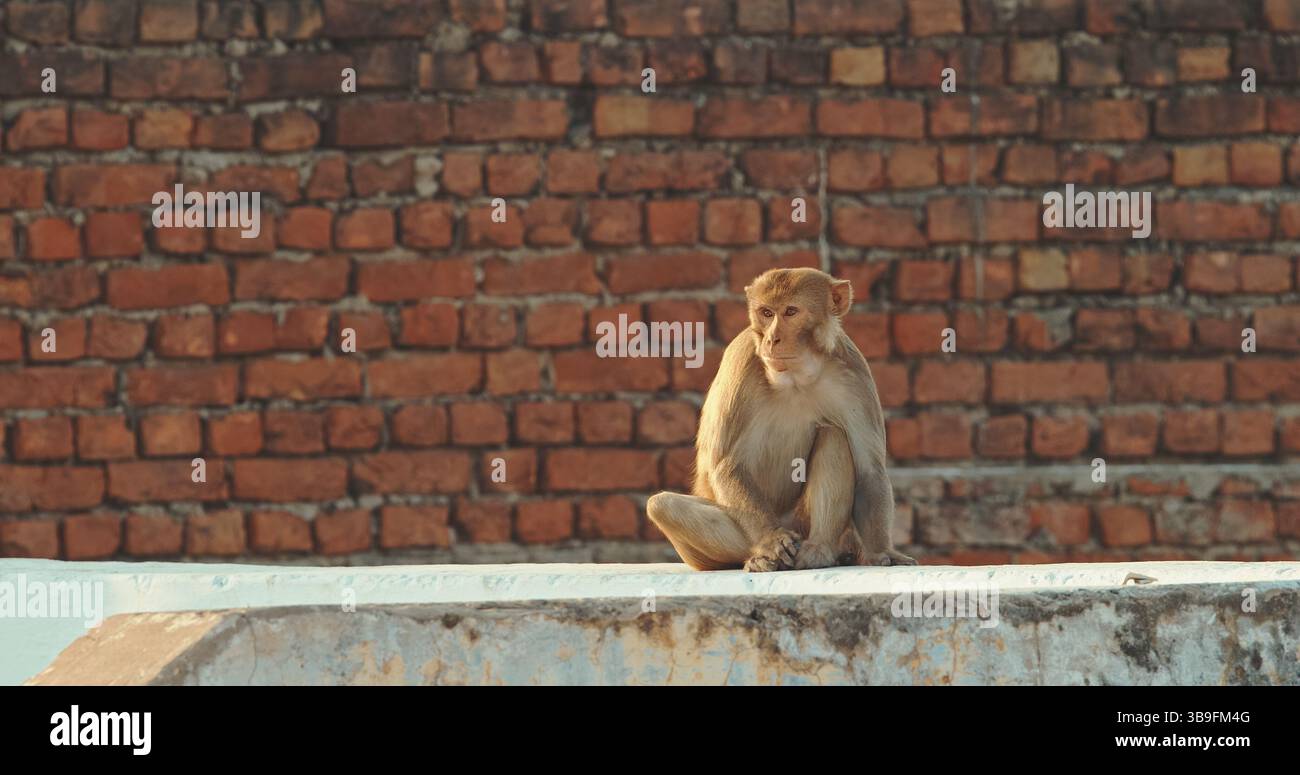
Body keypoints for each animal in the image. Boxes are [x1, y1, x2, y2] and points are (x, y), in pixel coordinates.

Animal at [647, 267, 916, 572]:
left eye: (790, 311)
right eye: (766, 312)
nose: (771, 339)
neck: (796, 377)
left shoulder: (854, 373)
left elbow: (870, 469)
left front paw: (882, 551)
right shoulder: (741, 361)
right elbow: (726, 464)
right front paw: (770, 541)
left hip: (804, 522)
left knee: (833, 435)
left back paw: (820, 551)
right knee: (662, 505)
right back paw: (761, 557)